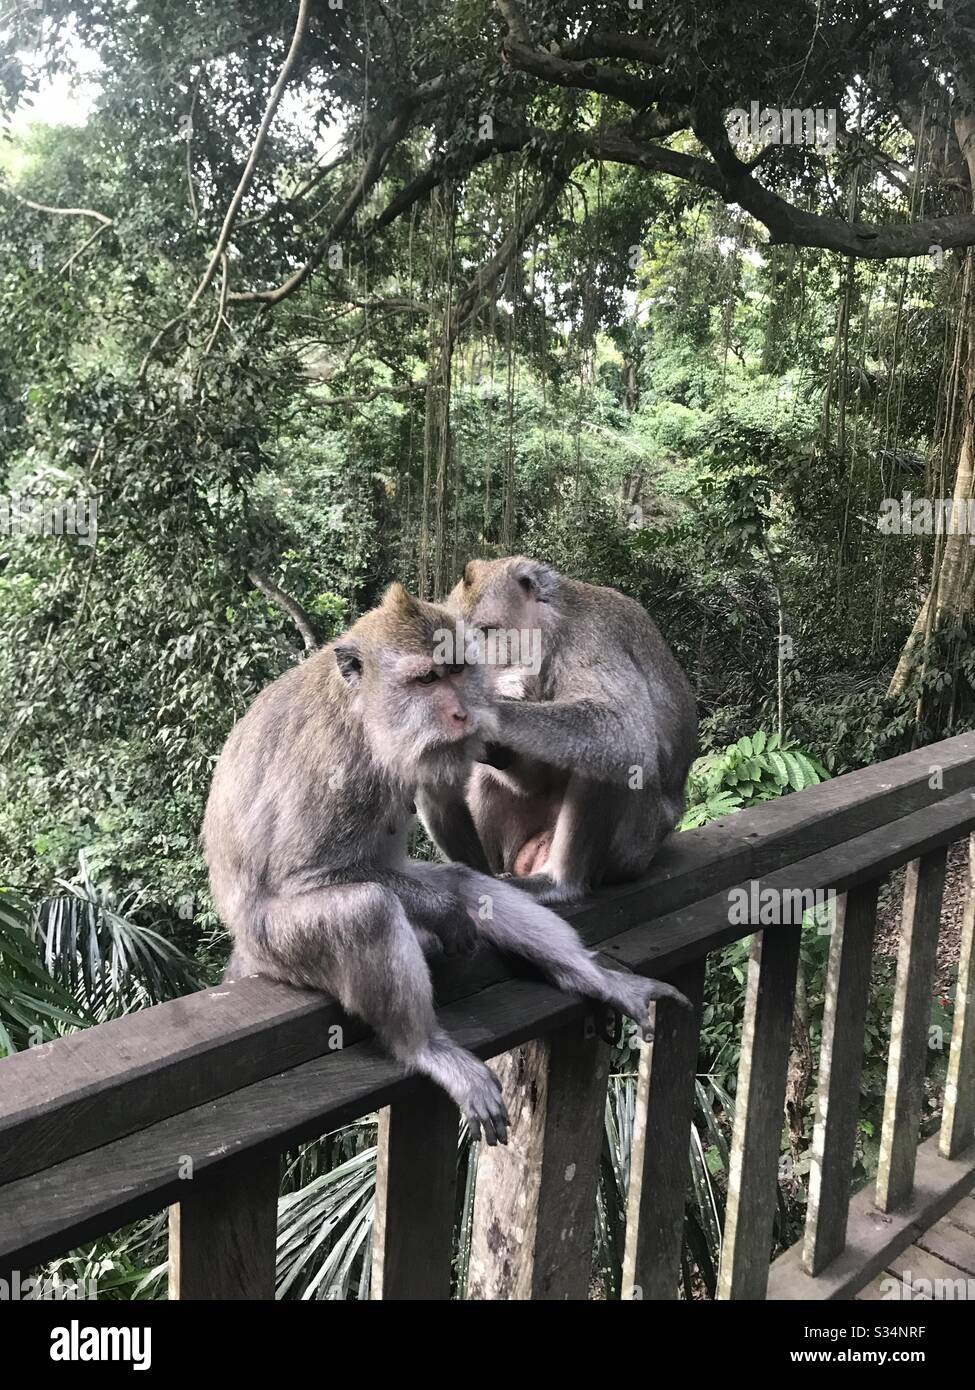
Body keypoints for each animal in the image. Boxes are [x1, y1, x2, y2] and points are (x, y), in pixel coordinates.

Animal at [204, 582, 690, 1145]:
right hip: (274, 945)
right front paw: (446, 917)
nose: (461, 714)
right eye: (426, 679)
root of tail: (243, 943)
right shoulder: (332, 763)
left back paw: (589, 975)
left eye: (456, 671)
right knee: (366, 910)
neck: (366, 715)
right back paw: (425, 1047)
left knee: (466, 884)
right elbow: (301, 874)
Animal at [416, 556, 698, 906]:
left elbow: (625, 733)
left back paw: (559, 882)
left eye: (486, 632)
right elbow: (529, 778)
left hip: (633, 848)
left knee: (612, 763)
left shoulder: (591, 638)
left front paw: (486, 710)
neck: (553, 629)